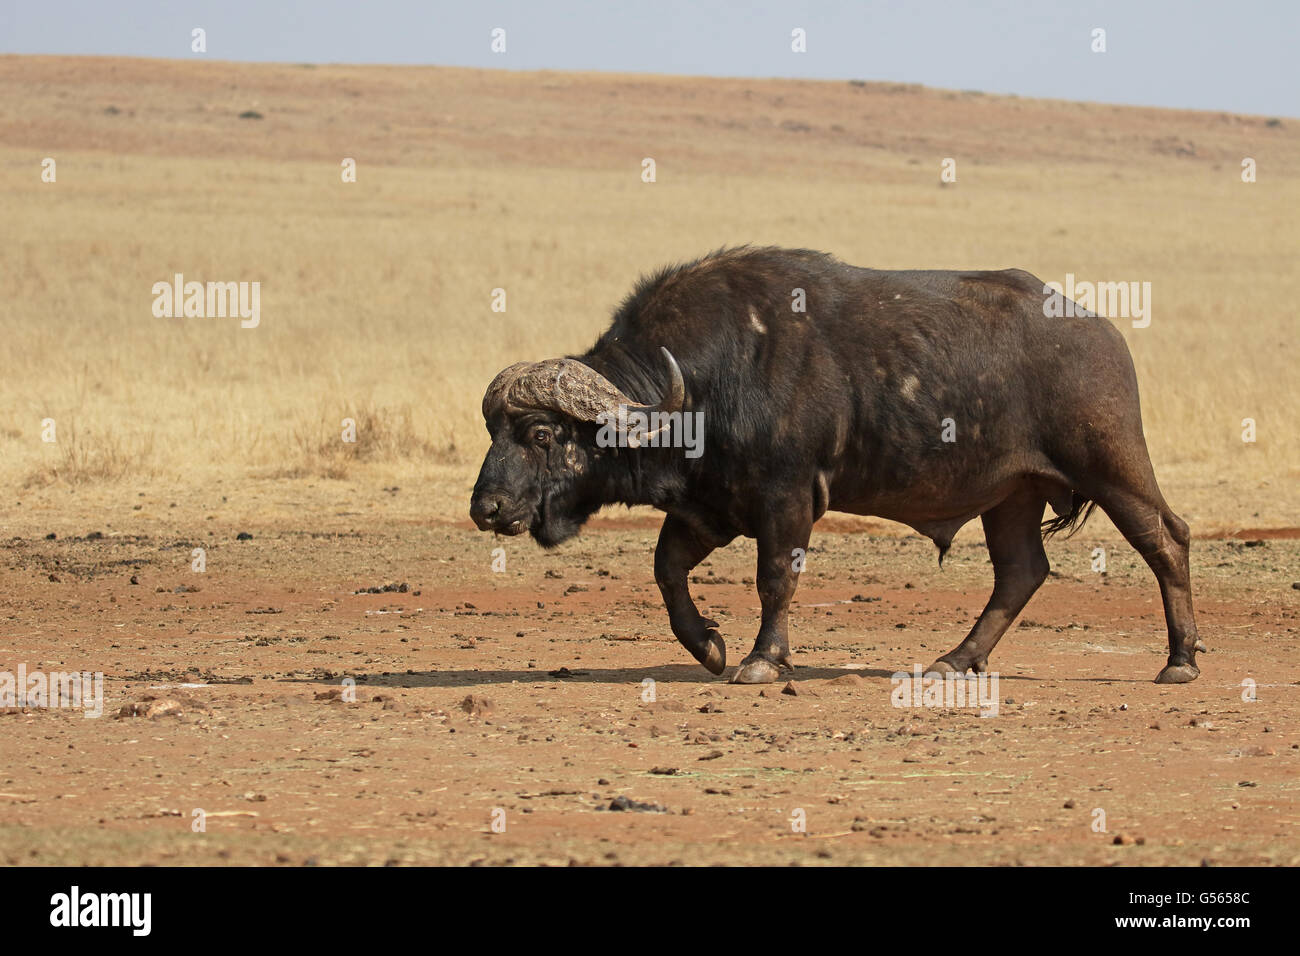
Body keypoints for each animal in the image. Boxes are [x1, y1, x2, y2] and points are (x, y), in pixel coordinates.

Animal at [470, 246, 1203, 685]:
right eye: (491, 429)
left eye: (539, 432)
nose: (486, 509)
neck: (709, 380)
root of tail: (1100, 330)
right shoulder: (711, 508)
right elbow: (666, 569)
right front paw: (707, 645)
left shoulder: (788, 499)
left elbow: (774, 580)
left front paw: (763, 660)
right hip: (1011, 496)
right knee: (1022, 572)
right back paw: (954, 660)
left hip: (1112, 465)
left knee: (1168, 540)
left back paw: (1180, 661)